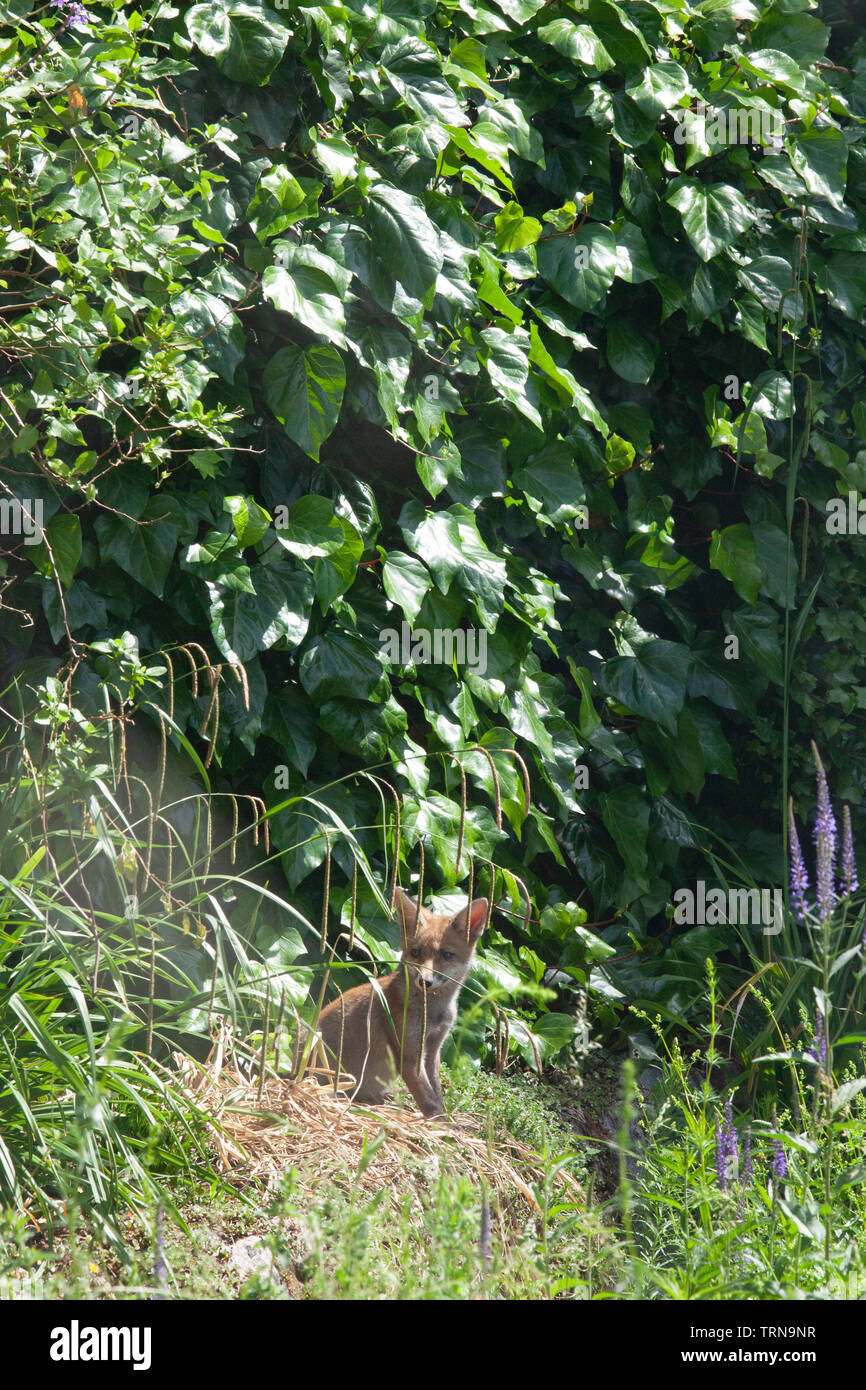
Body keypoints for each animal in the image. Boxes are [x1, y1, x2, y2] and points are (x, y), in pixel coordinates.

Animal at [310, 888, 489, 1119]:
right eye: (416, 952)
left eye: (446, 955)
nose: (424, 981)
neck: (433, 1015)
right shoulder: (408, 1055)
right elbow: (430, 1101)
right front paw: (444, 1125)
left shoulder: (433, 1051)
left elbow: (437, 1093)